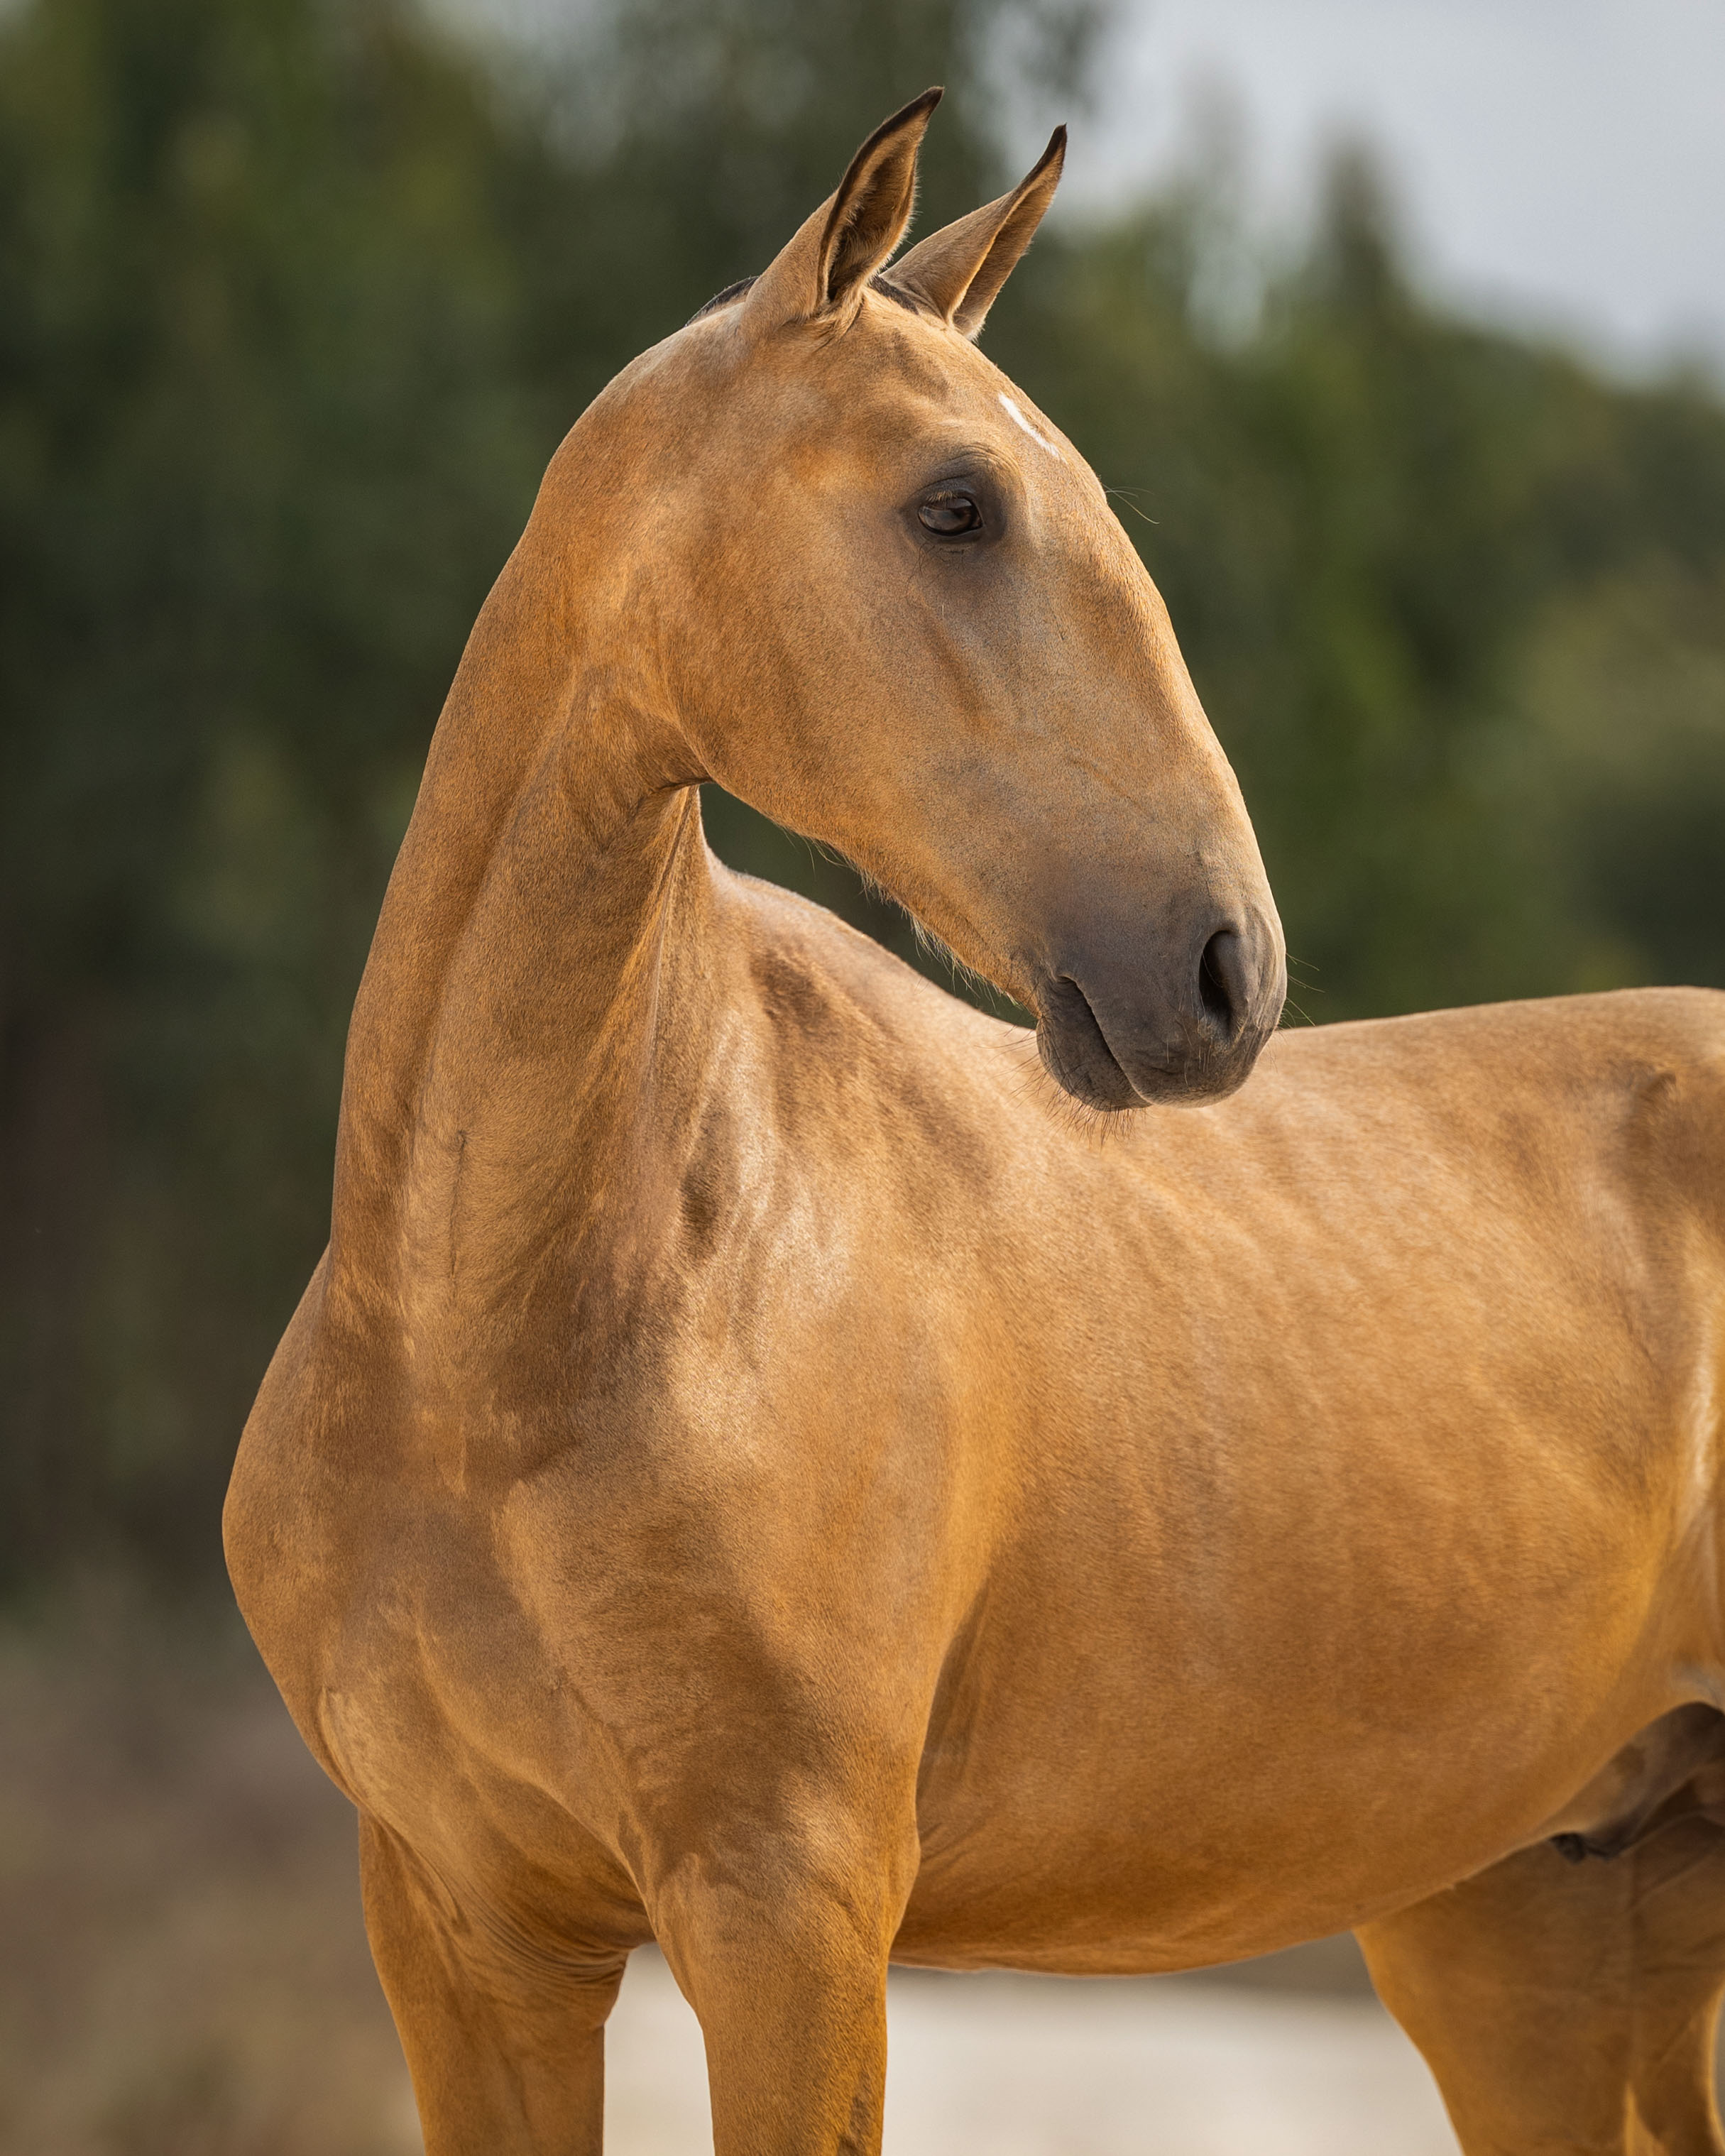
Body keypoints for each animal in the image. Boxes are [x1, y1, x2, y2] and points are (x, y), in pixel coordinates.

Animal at [225, 89, 1725, 2156]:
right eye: (955, 504)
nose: (1220, 967)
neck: (502, 1343)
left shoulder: (789, 1921)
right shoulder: (464, 1929)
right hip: (1536, 1938)